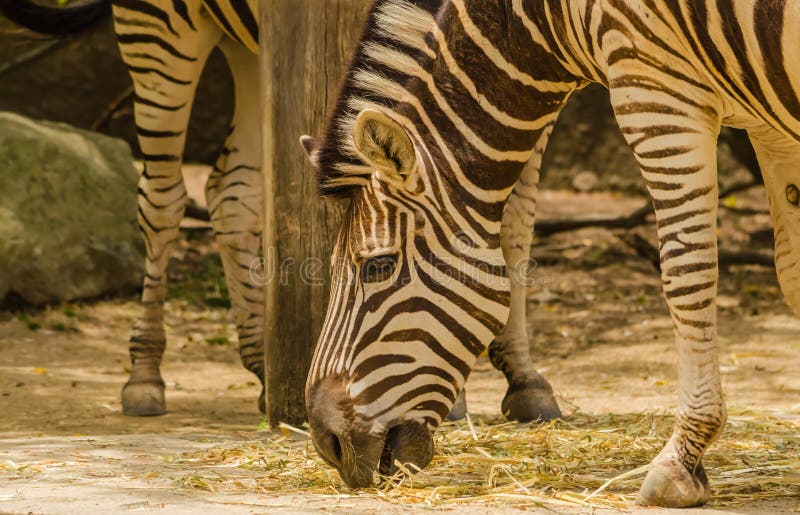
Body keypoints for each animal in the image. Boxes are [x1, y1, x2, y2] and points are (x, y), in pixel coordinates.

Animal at [301, 0, 800, 507]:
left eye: (378, 266)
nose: (327, 444)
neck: (543, 17)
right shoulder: (764, 120)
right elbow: (790, 271)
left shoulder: (655, 87)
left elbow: (686, 270)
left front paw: (680, 463)